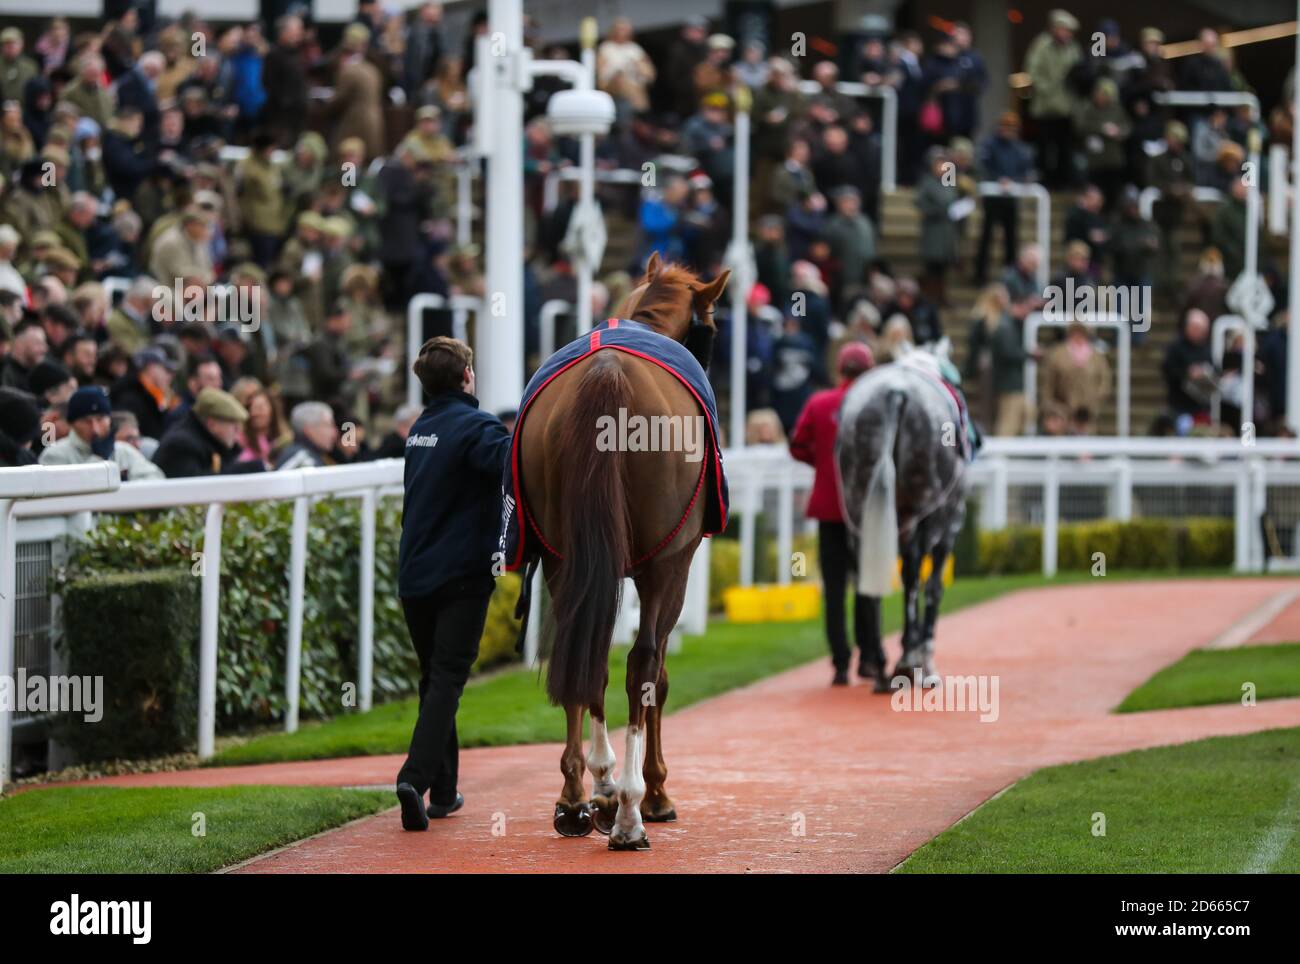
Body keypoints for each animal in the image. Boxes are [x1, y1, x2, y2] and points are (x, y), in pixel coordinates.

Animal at [517, 253, 729, 850]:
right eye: (713, 328)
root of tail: (607, 372)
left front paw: (600, 788)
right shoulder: (675, 568)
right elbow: (657, 674)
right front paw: (652, 793)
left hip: (565, 556)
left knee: (583, 655)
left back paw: (577, 798)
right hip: (663, 565)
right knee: (641, 663)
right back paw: (633, 811)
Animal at [835, 346, 971, 689]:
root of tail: (895, 391)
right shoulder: (951, 521)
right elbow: (932, 587)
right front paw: (926, 660)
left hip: (858, 504)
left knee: (864, 577)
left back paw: (880, 665)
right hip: (923, 507)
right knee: (911, 574)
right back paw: (909, 660)